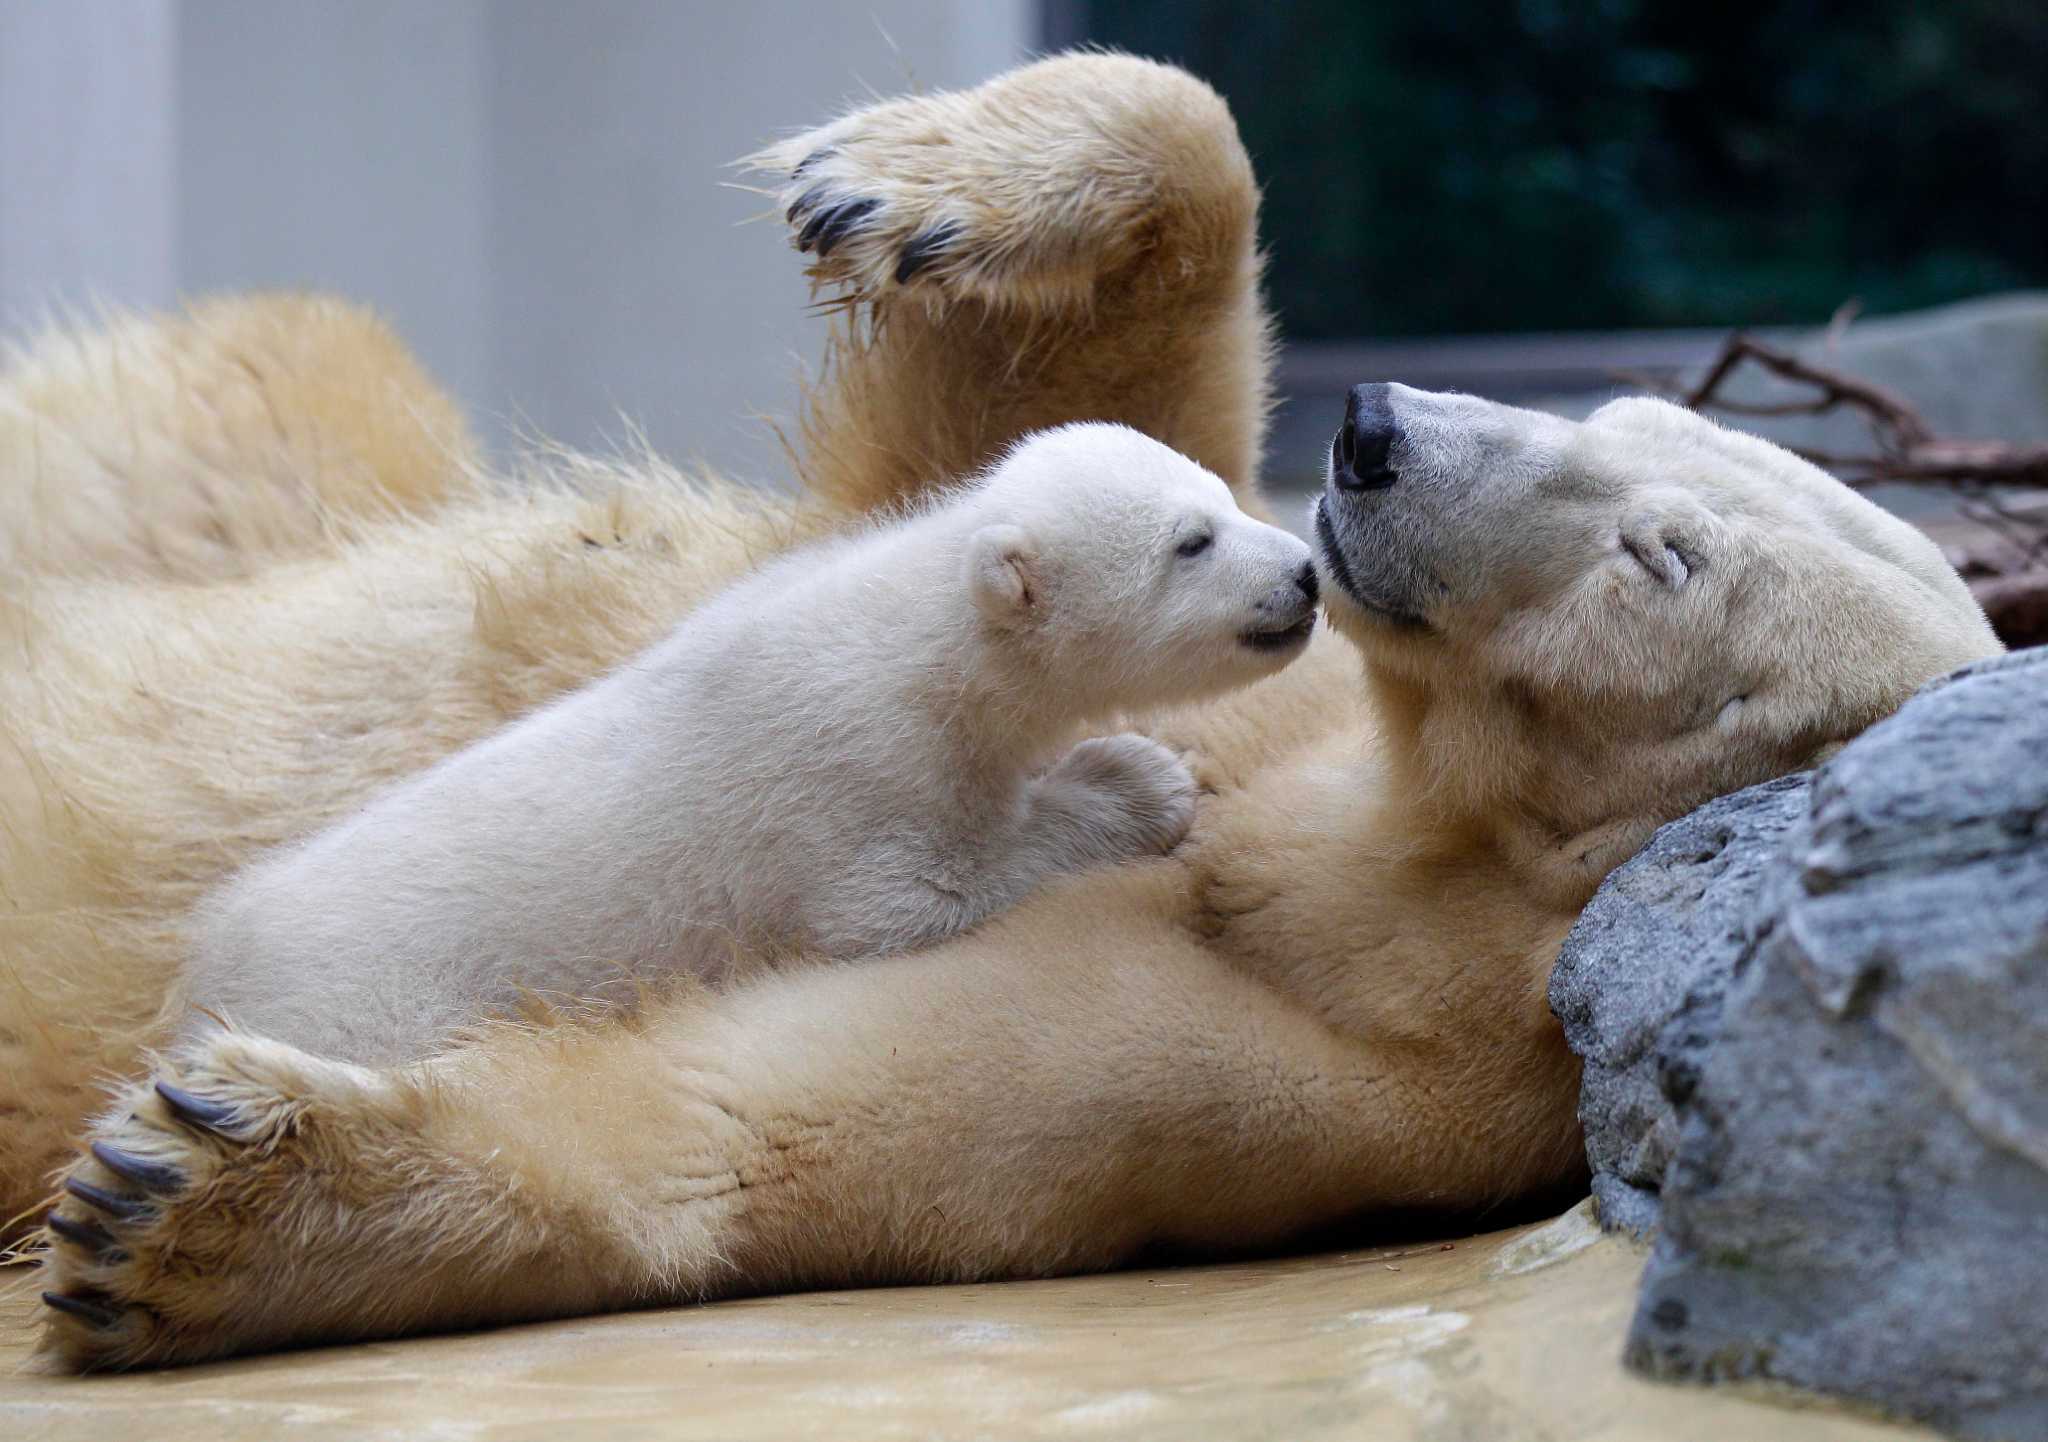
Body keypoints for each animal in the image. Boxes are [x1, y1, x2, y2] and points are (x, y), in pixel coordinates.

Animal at [180, 423, 1316, 1064]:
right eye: (1191, 542)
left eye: (1224, 495)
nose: (1304, 572)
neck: (923, 638)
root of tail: (203, 975)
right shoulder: (852, 773)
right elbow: (910, 898)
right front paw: (1135, 780)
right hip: (368, 1001)